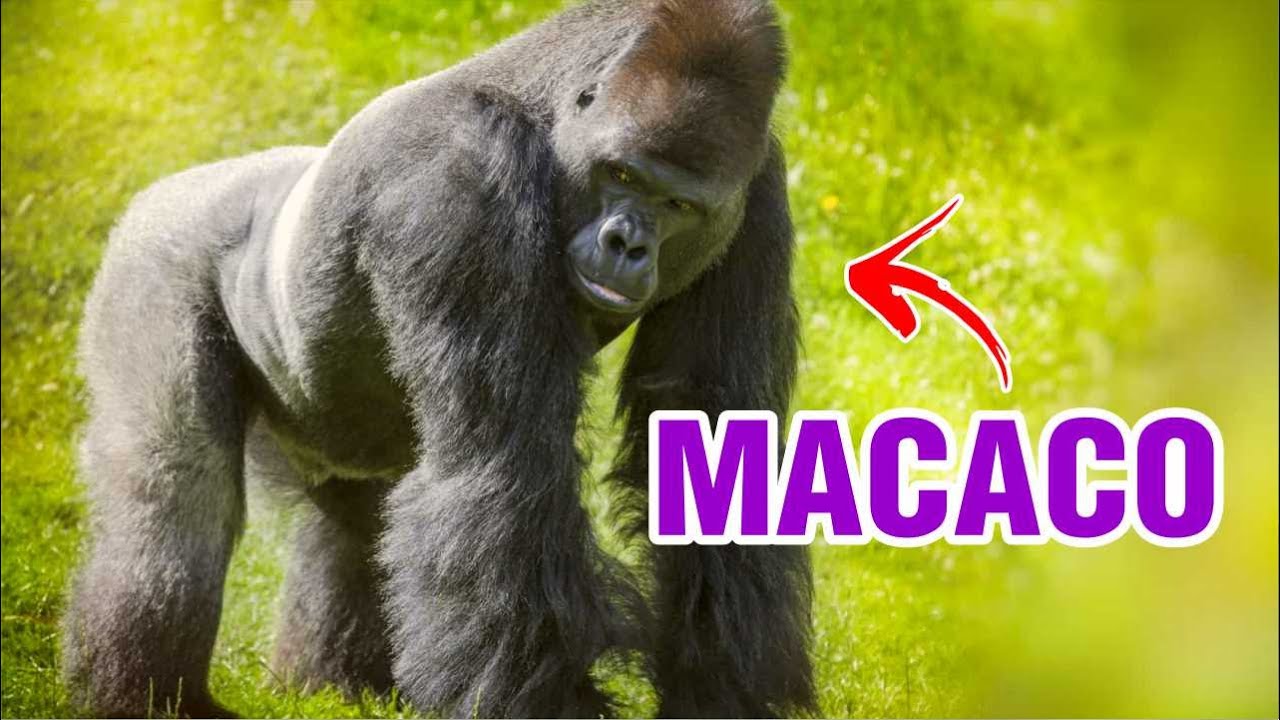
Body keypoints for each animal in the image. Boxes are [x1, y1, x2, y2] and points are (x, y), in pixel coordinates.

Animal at [62, 0, 814, 717]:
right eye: (620, 173)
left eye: (678, 203)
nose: (627, 243)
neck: (547, 112)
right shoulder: (460, 177)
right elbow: (502, 471)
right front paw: (550, 703)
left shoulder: (756, 197)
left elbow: (714, 442)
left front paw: (719, 691)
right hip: (157, 254)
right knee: (174, 492)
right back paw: (148, 694)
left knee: (355, 519)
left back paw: (336, 684)